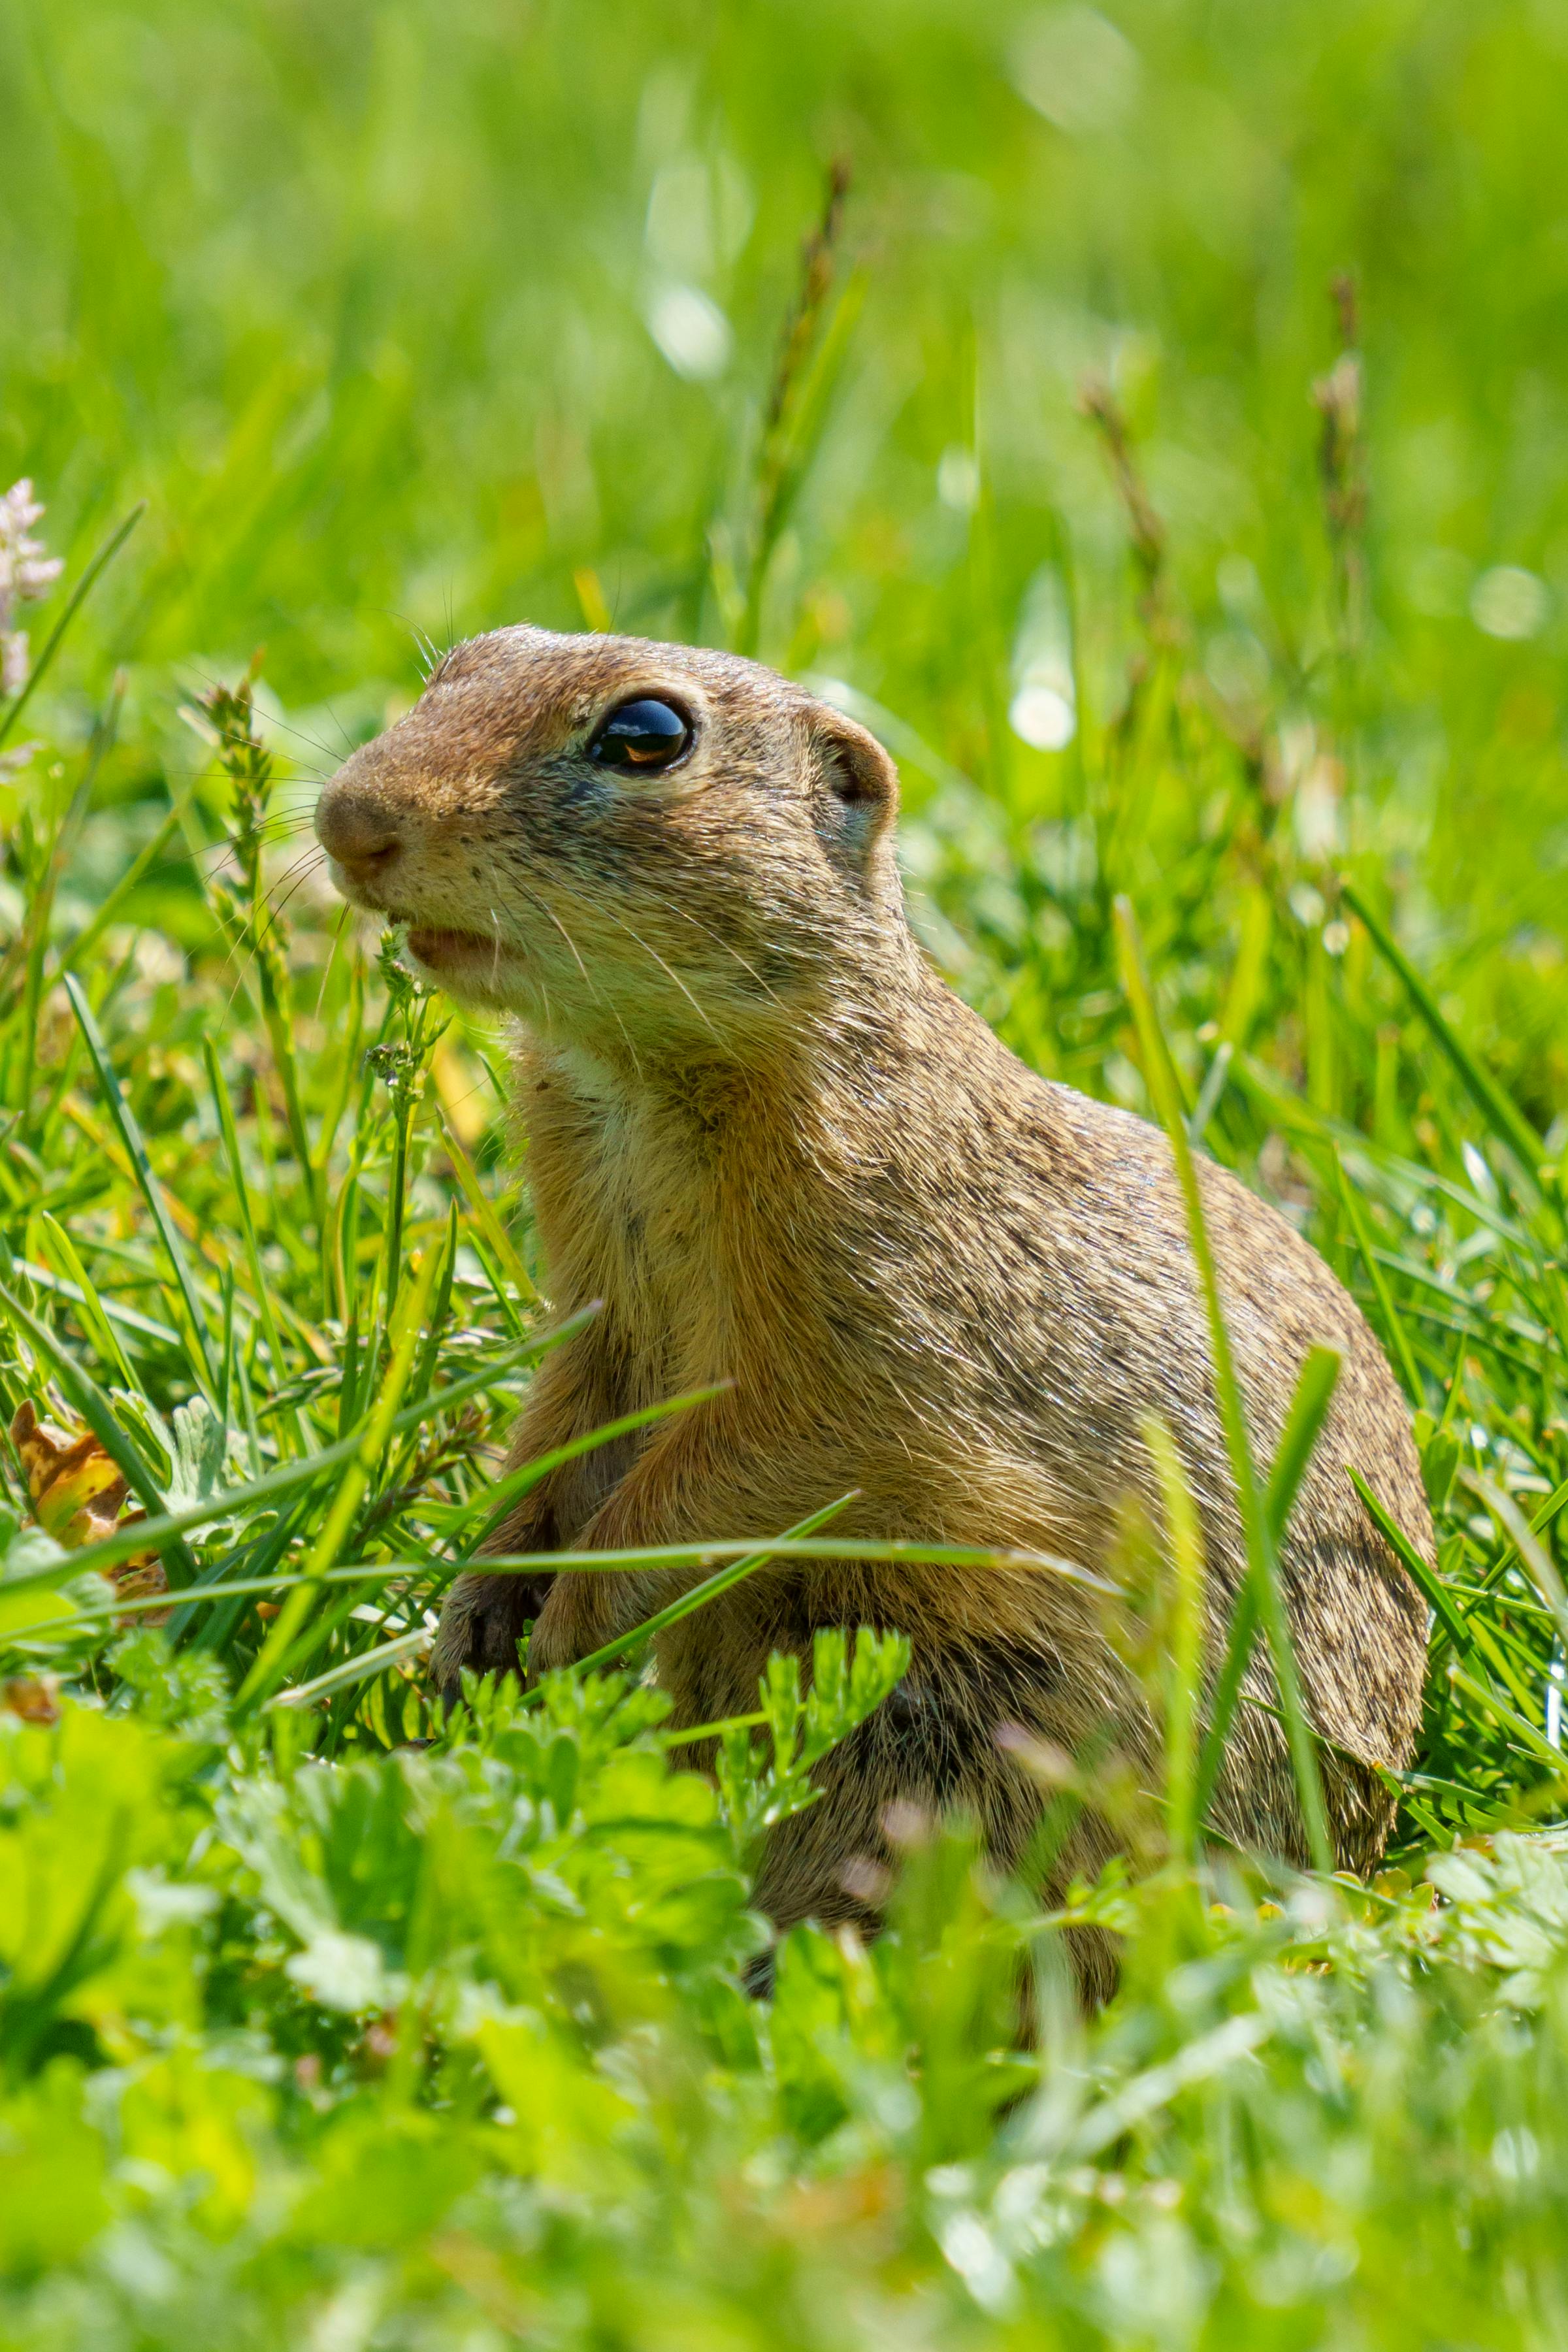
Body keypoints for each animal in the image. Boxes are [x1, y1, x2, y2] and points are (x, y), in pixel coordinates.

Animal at [316, 625, 1431, 1989]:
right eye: (458, 667)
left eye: (646, 736)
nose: (348, 820)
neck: (646, 1077)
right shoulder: (598, 1311)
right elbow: (558, 1428)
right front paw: (473, 1619)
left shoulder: (872, 1336)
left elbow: (740, 1477)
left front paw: (577, 1613)